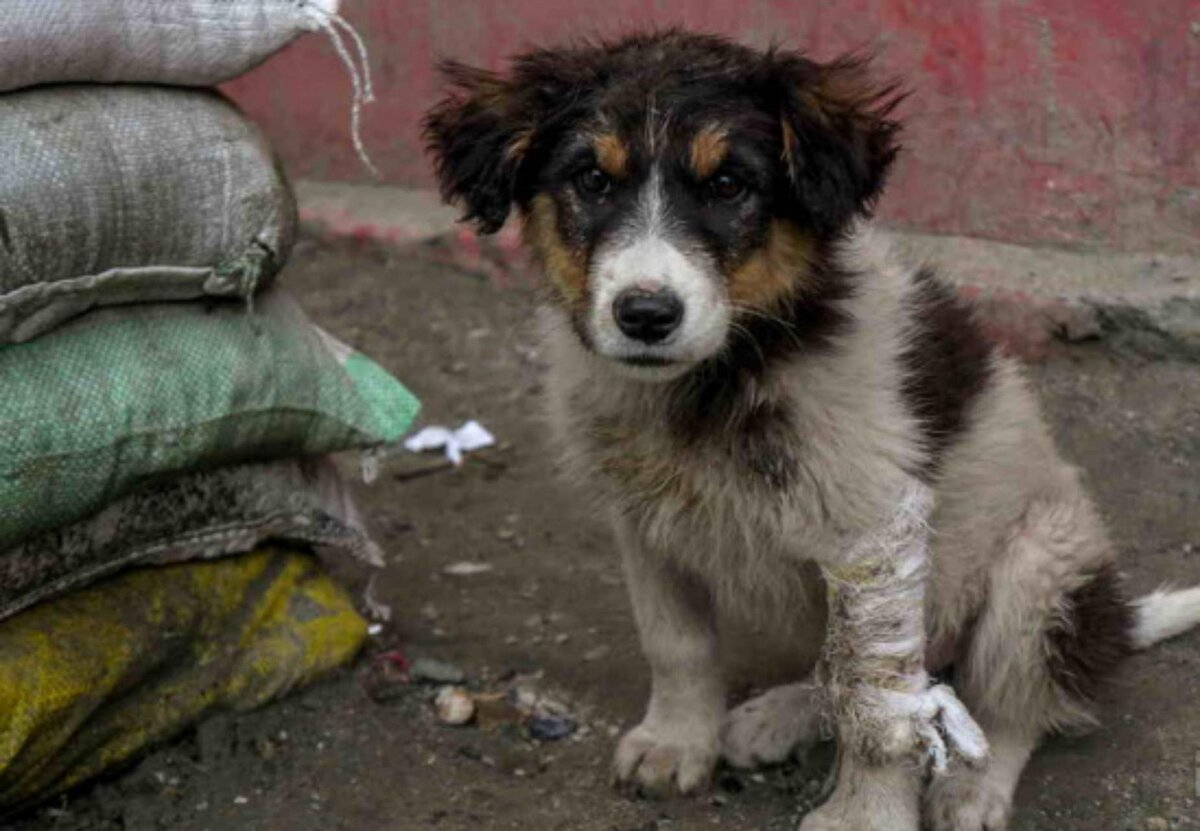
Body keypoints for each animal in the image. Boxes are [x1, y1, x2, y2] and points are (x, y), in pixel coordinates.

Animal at [422, 30, 1200, 831]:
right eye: (591, 179)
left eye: (730, 184)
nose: (645, 314)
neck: (729, 373)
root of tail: (1117, 622)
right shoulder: (644, 518)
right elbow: (677, 644)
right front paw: (677, 741)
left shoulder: (876, 533)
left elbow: (879, 702)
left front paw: (866, 814)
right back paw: (780, 715)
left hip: (1044, 570)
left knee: (1013, 703)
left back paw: (972, 784)